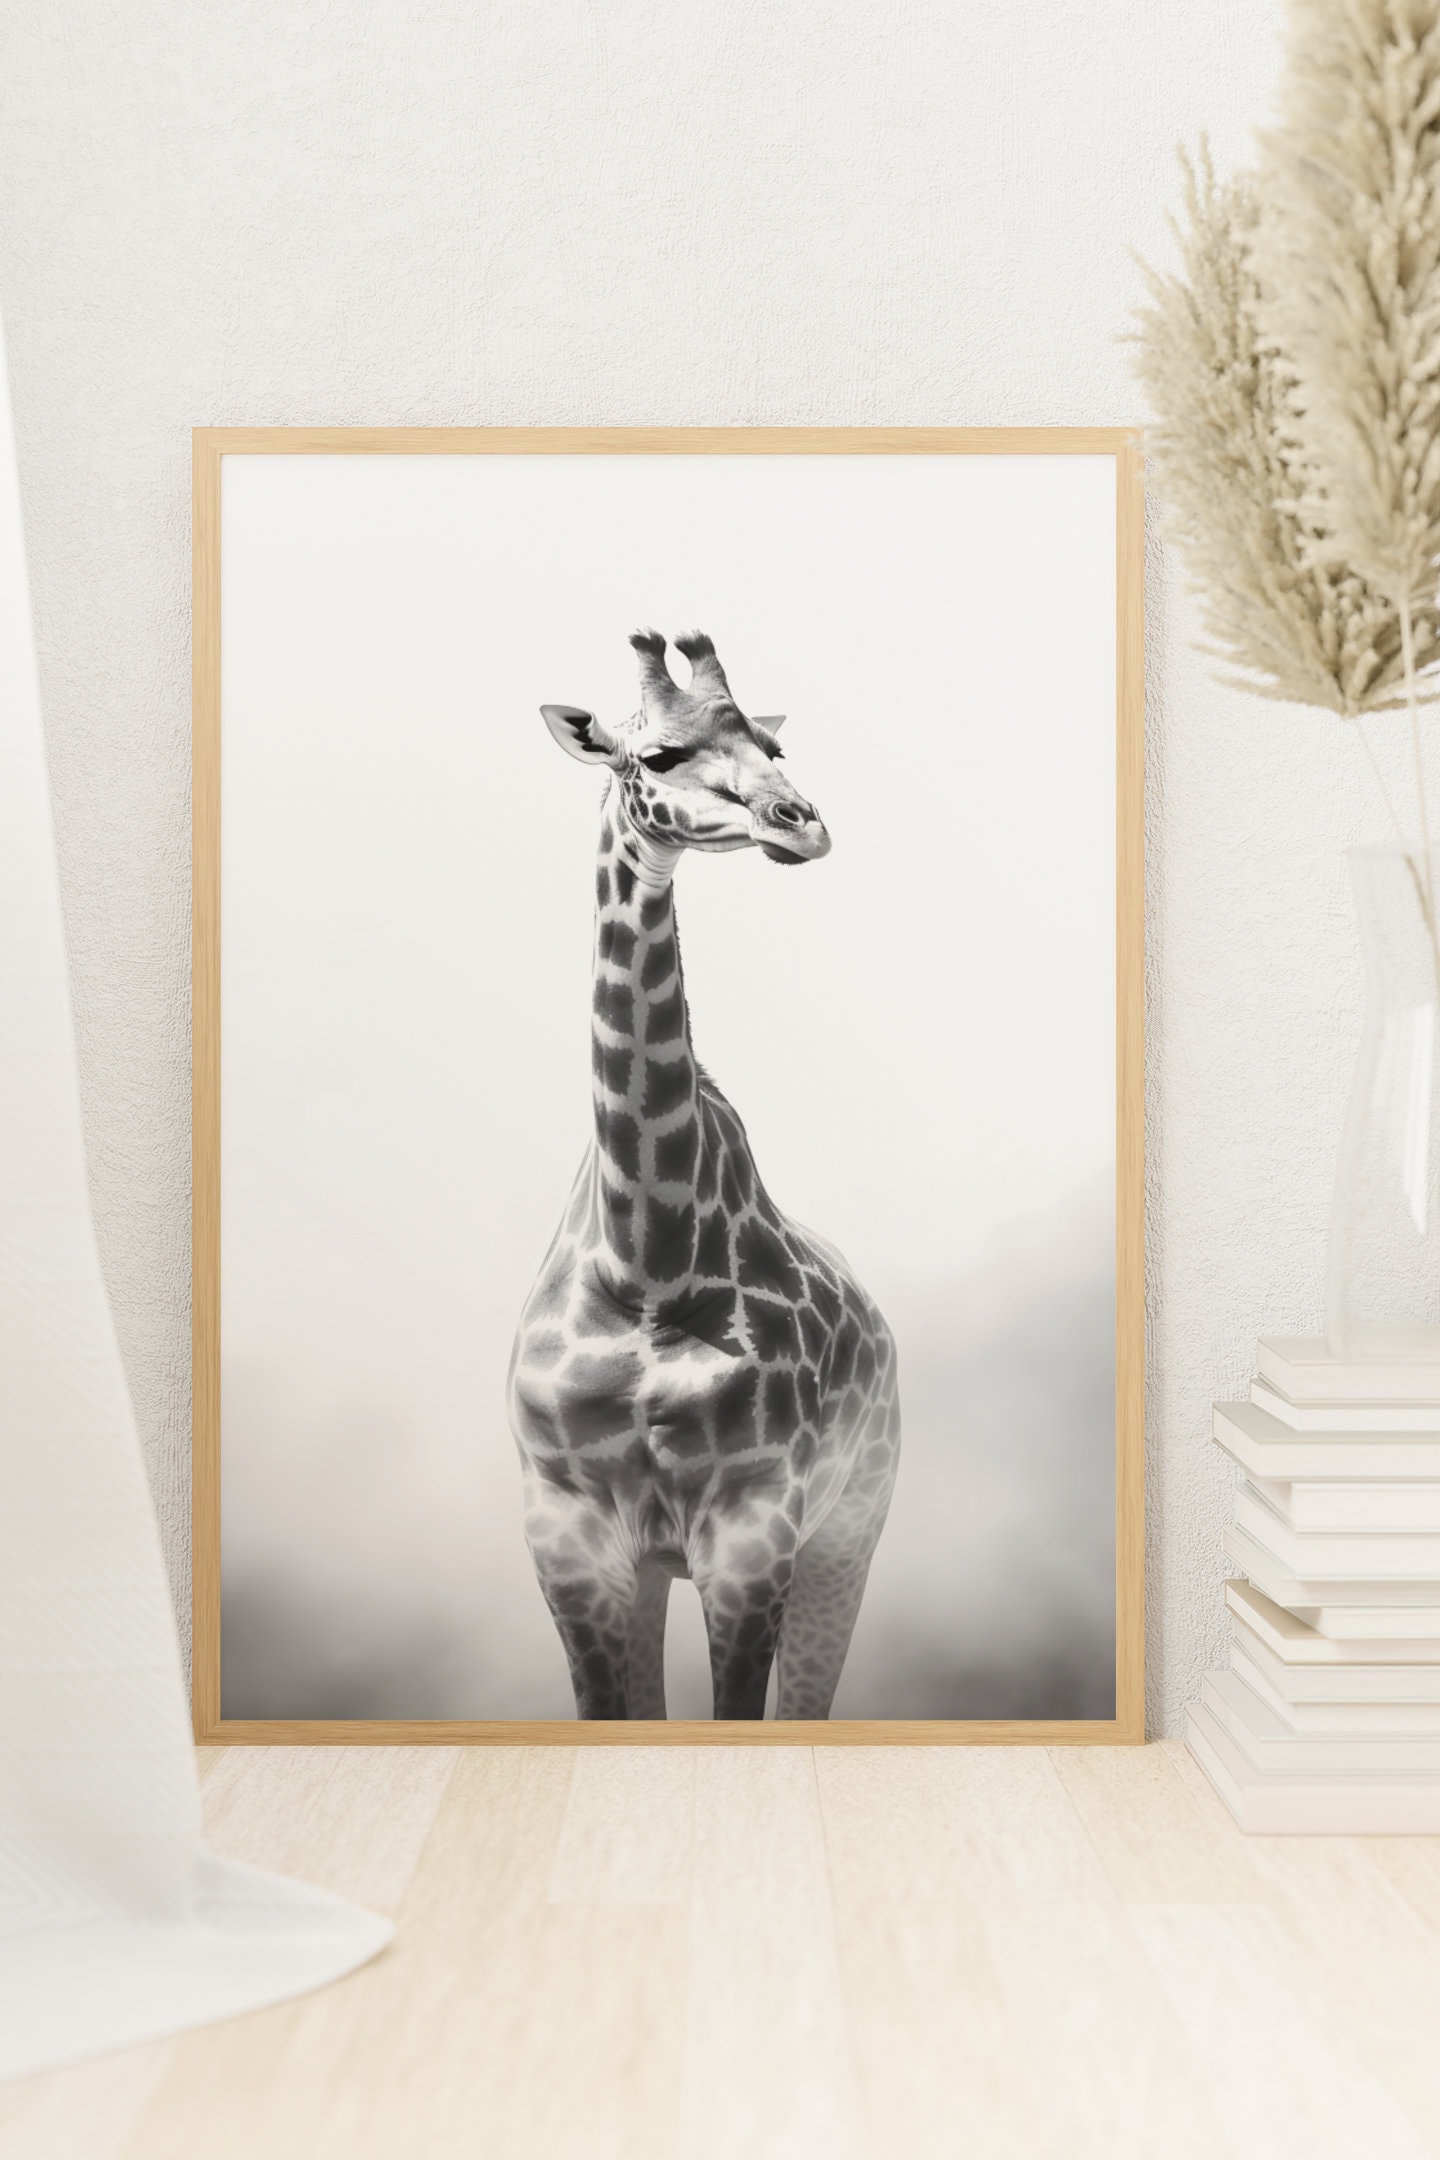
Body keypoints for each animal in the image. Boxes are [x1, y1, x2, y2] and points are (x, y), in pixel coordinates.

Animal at [508, 628, 900, 1720]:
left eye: (769, 742)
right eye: (659, 755)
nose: (802, 823)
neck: (646, 1261)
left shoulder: (757, 1529)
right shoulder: (571, 1533)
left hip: (854, 1524)